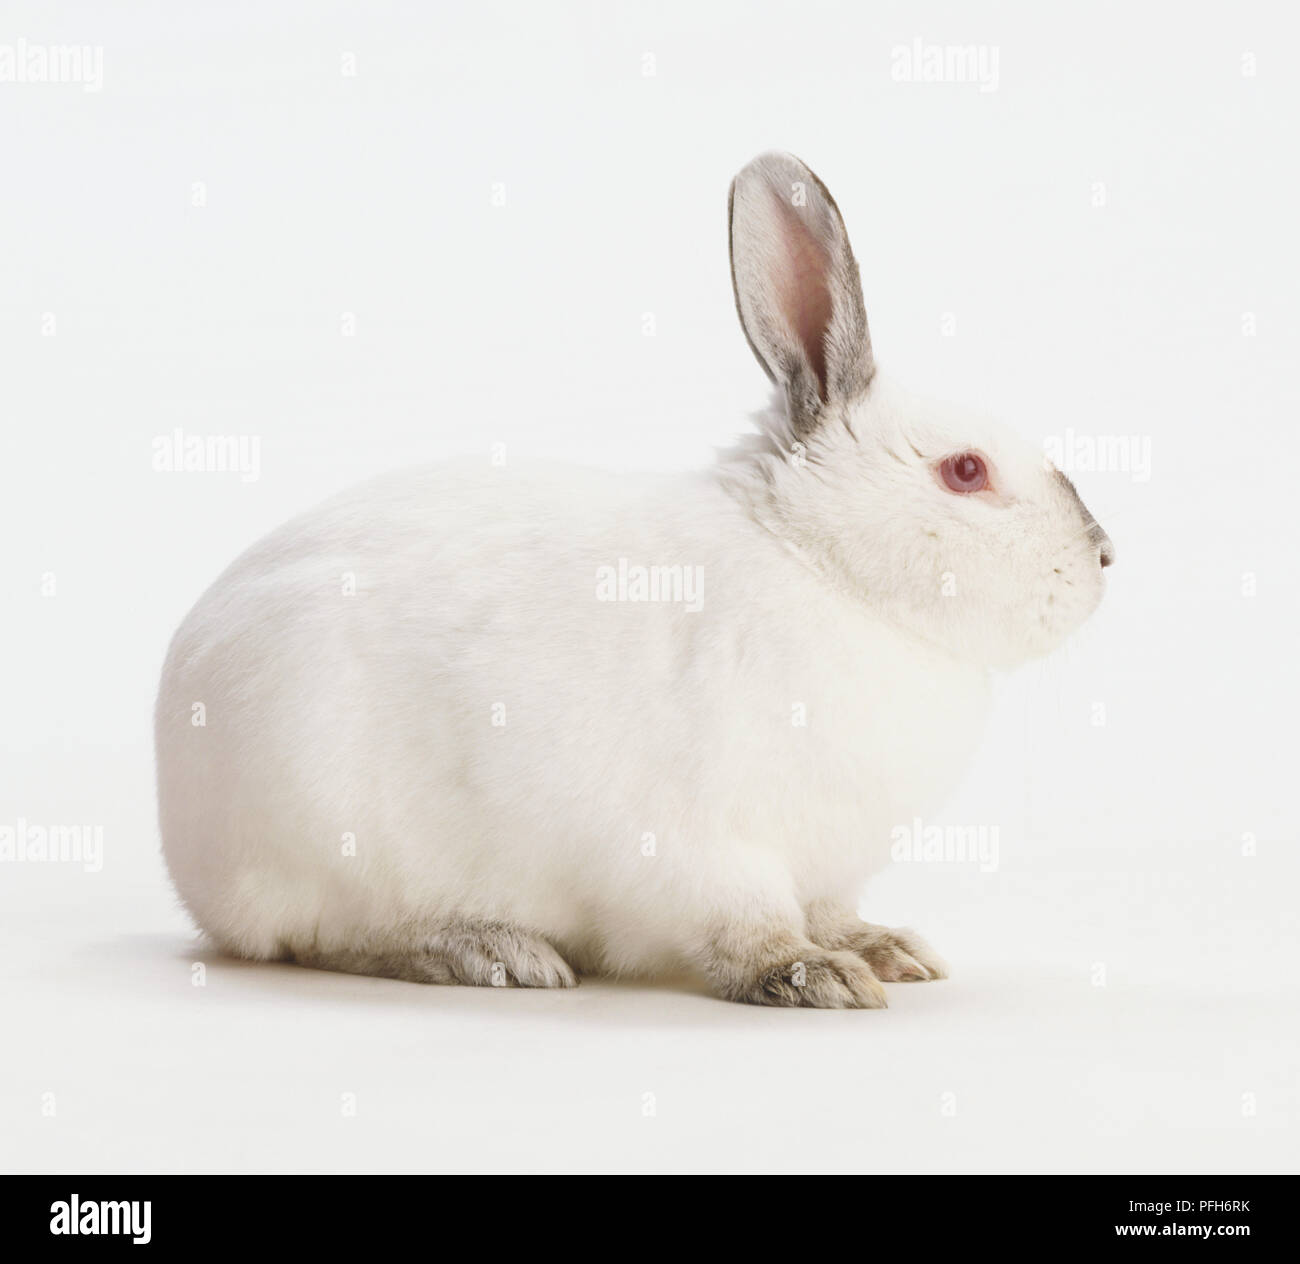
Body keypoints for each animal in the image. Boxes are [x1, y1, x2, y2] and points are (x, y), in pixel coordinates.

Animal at [156, 152, 1113, 1008]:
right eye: (966, 471)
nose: (1104, 560)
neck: (819, 564)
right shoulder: (712, 845)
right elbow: (751, 925)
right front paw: (814, 975)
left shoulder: (826, 863)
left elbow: (833, 910)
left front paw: (888, 950)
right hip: (329, 833)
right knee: (329, 937)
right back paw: (493, 953)